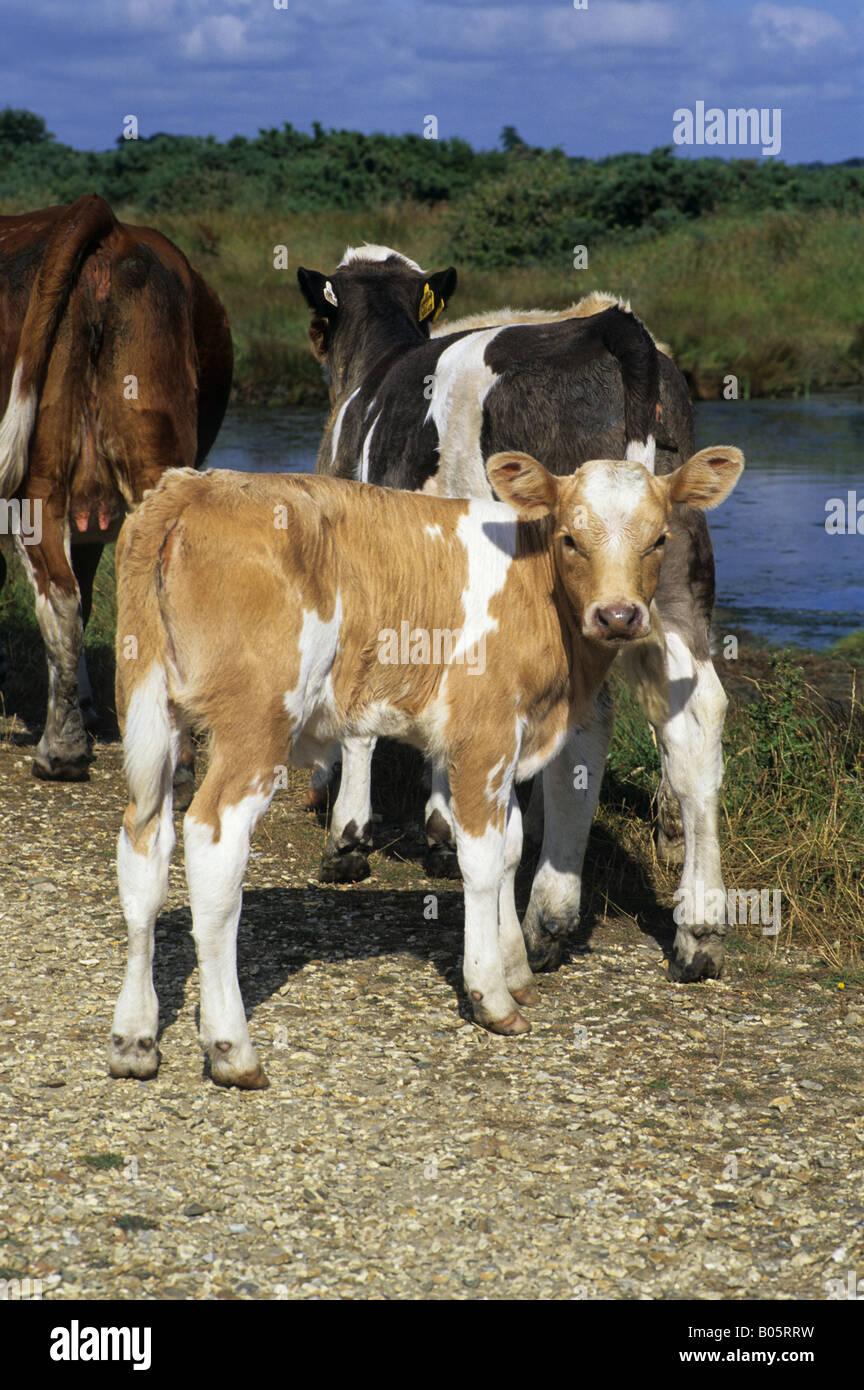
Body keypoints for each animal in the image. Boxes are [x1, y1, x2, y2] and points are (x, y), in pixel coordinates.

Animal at [0, 193, 232, 781]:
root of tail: (111, 231)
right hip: (151, 453)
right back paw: (173, 759)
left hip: (39, 481)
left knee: (57, 595)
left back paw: (60, 752)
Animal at [108, 445, 742, 1087]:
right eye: (570, 538)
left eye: (659, 539)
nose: (618, 616)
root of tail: (194, 485)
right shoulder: (484, 732)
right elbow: (482, 862)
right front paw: (491, 994)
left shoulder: (509, 744)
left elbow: (511, 848)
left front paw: (515, 969)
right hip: (257, 720)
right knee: (212, 843)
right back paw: (231, 1047)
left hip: (150, 704)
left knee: (143, 842)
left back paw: (135, 1039)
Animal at [298, 246, 732, 986]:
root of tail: (611, 325)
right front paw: (443, 830)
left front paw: (349, 840)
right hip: (672, 580)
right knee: (695, 720)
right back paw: (697, 932)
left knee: (587, 724)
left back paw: (548, 917)